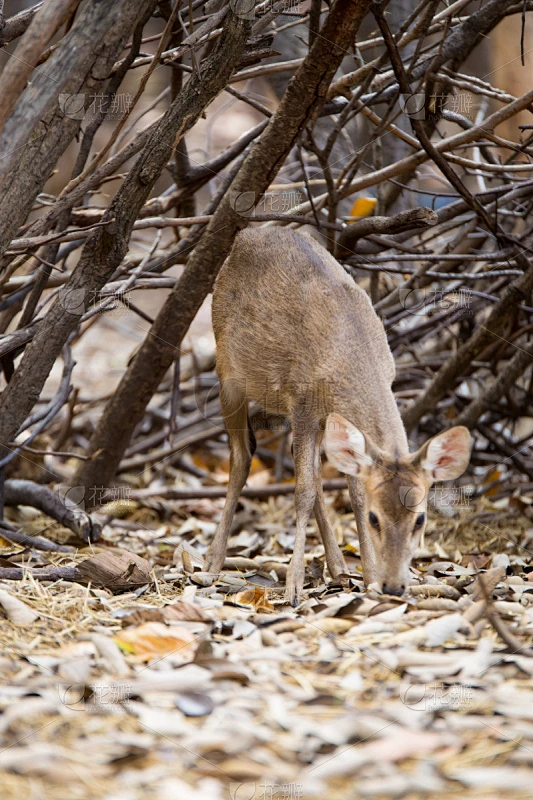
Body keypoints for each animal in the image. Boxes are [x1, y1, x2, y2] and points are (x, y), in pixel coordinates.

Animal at [204, 227, 471, 604]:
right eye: (376, 519)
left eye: (420, 519)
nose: (394, 586)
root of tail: (248, 233)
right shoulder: (301, 402)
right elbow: (303, 492)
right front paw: (294, 585)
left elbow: (351, 492)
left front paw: (369, 575)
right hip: (227, 372)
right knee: (242, 456)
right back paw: (212, 562)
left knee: (311, 471)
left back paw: (340, 569)